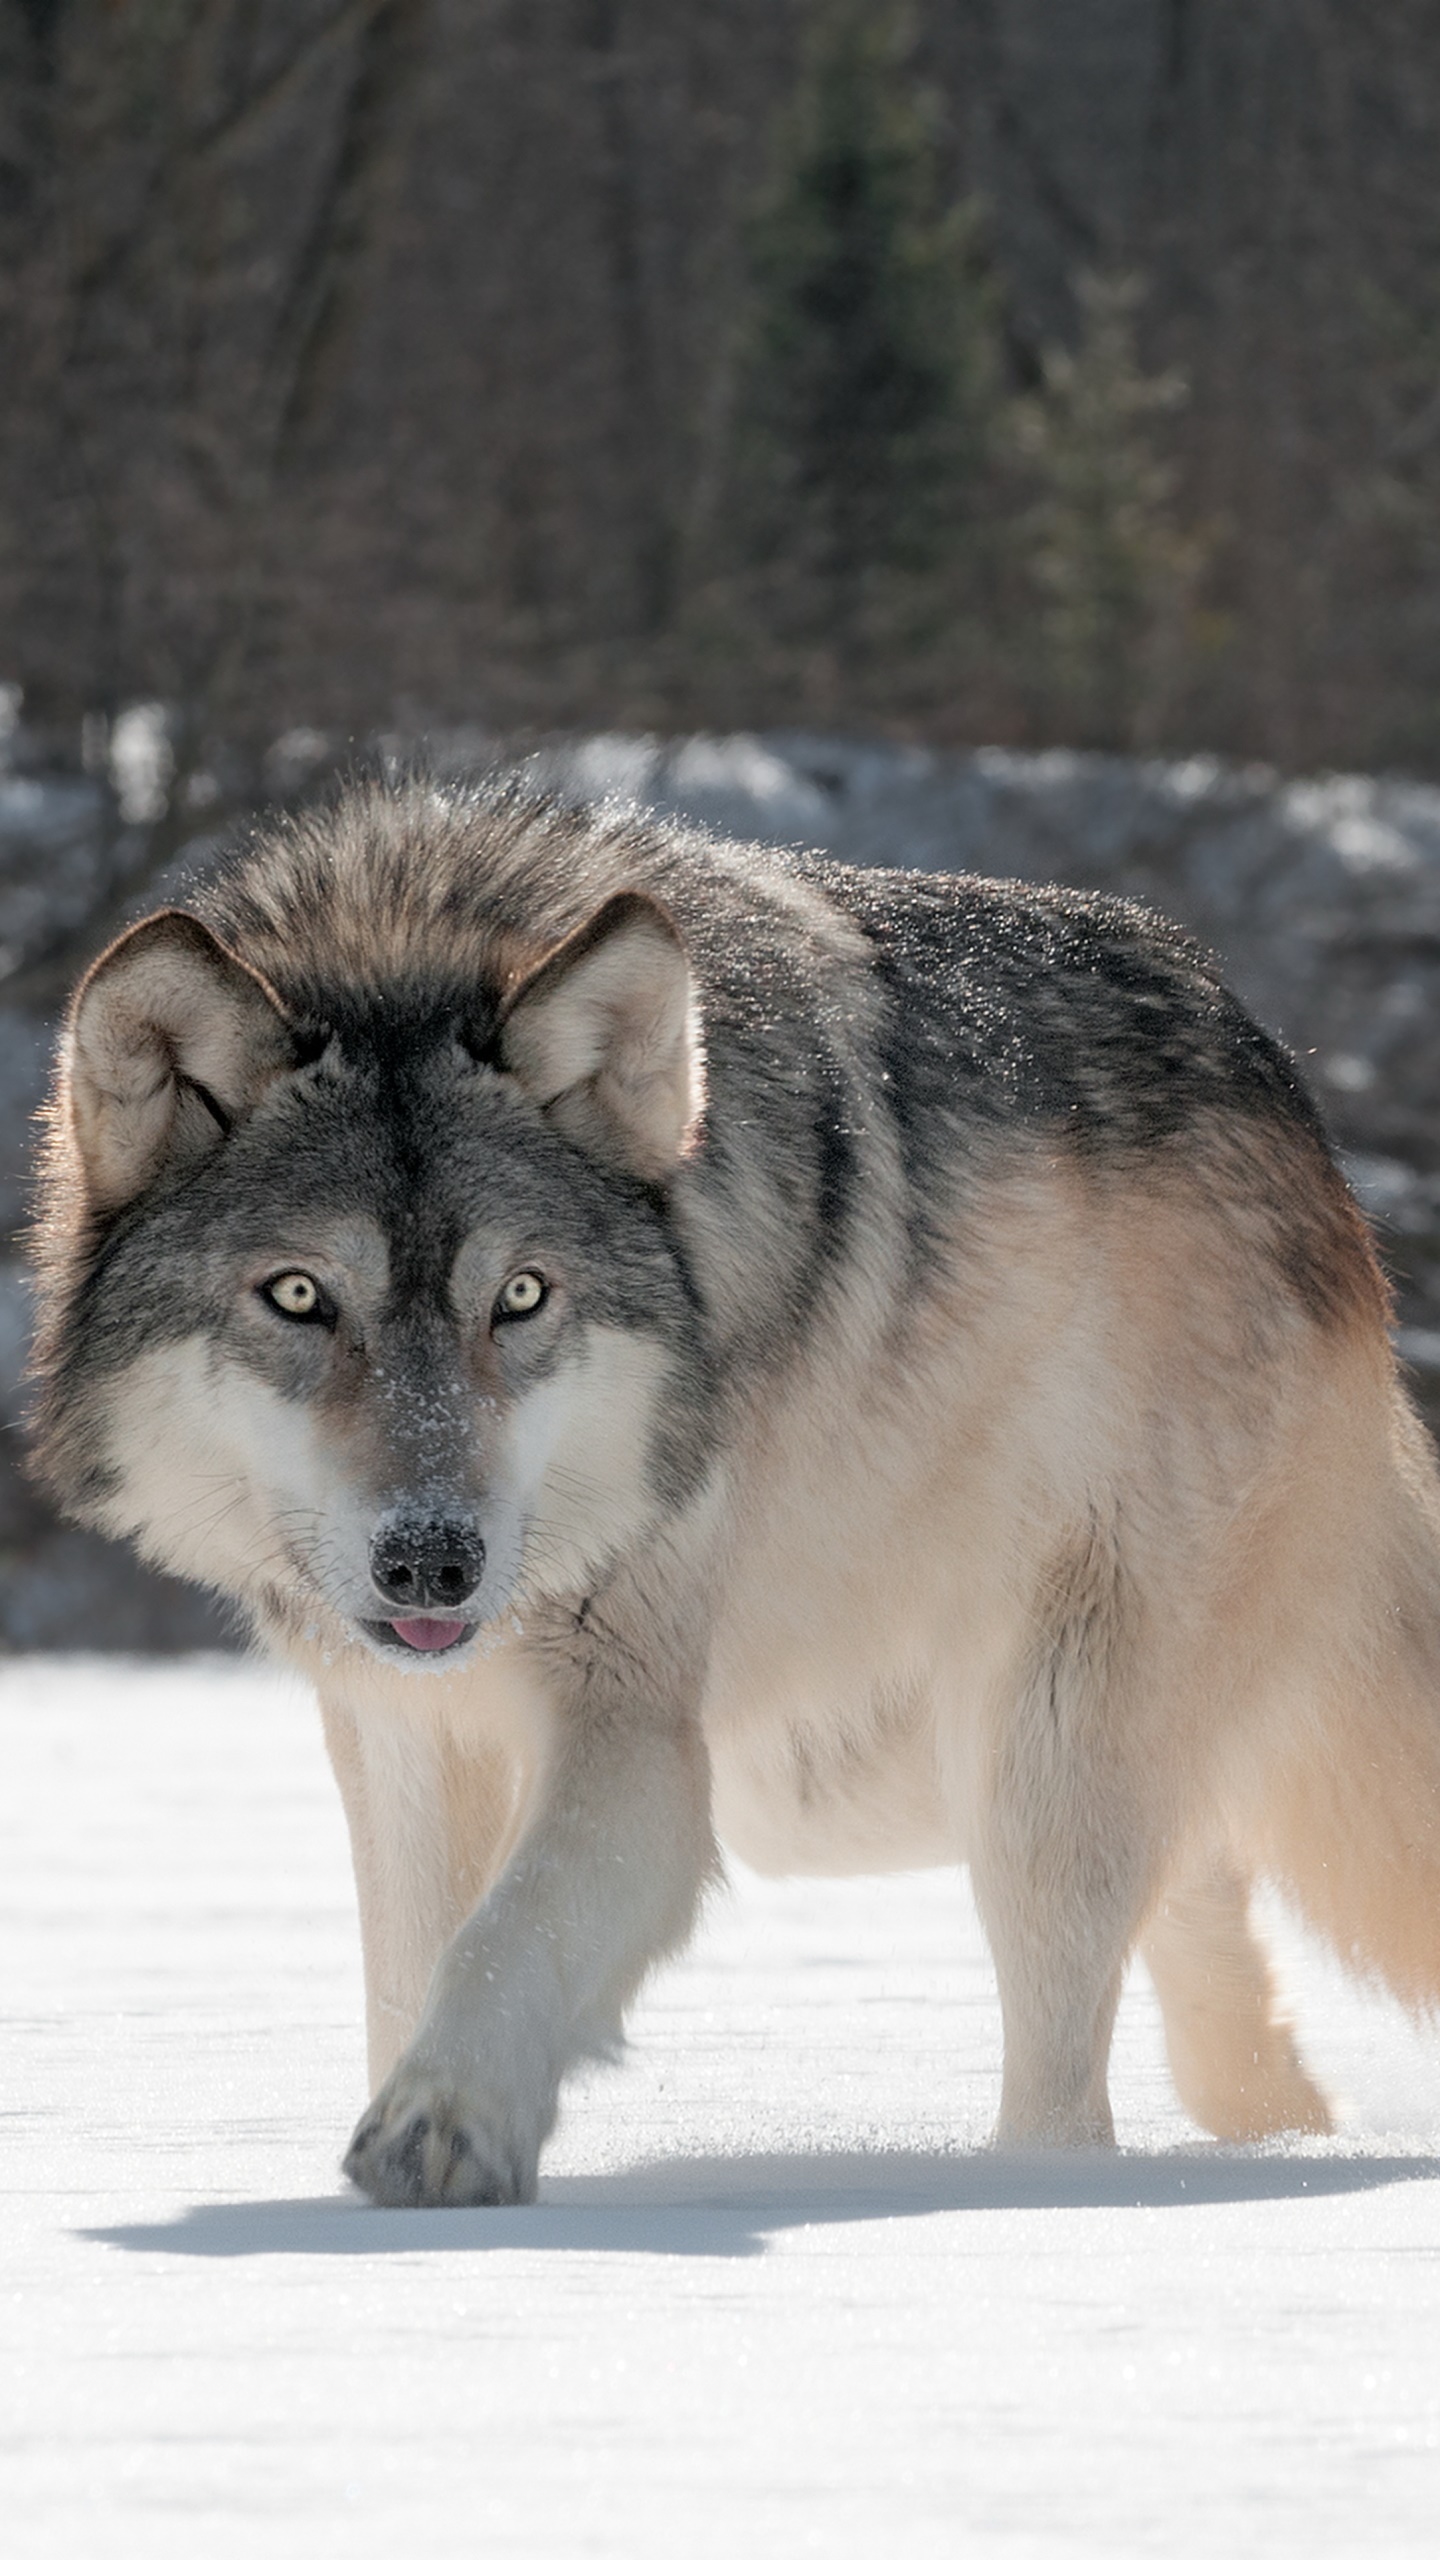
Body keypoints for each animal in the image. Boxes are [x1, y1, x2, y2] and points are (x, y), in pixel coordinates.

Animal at [28, 778, 1440, 2201]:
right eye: (300, 1296)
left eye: (521, 1295)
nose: (434, 1560)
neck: (412, 934)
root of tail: (1301, 1118)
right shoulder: (404, 1729)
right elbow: (411, 1966)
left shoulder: (635, 1729)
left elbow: (506, 1935)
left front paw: (442, 2126)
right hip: (863, 1774)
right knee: (1205, 1911)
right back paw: (1268, 2133)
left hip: (1024, 1758)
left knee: (1071, 2065)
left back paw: (1045, 2188)